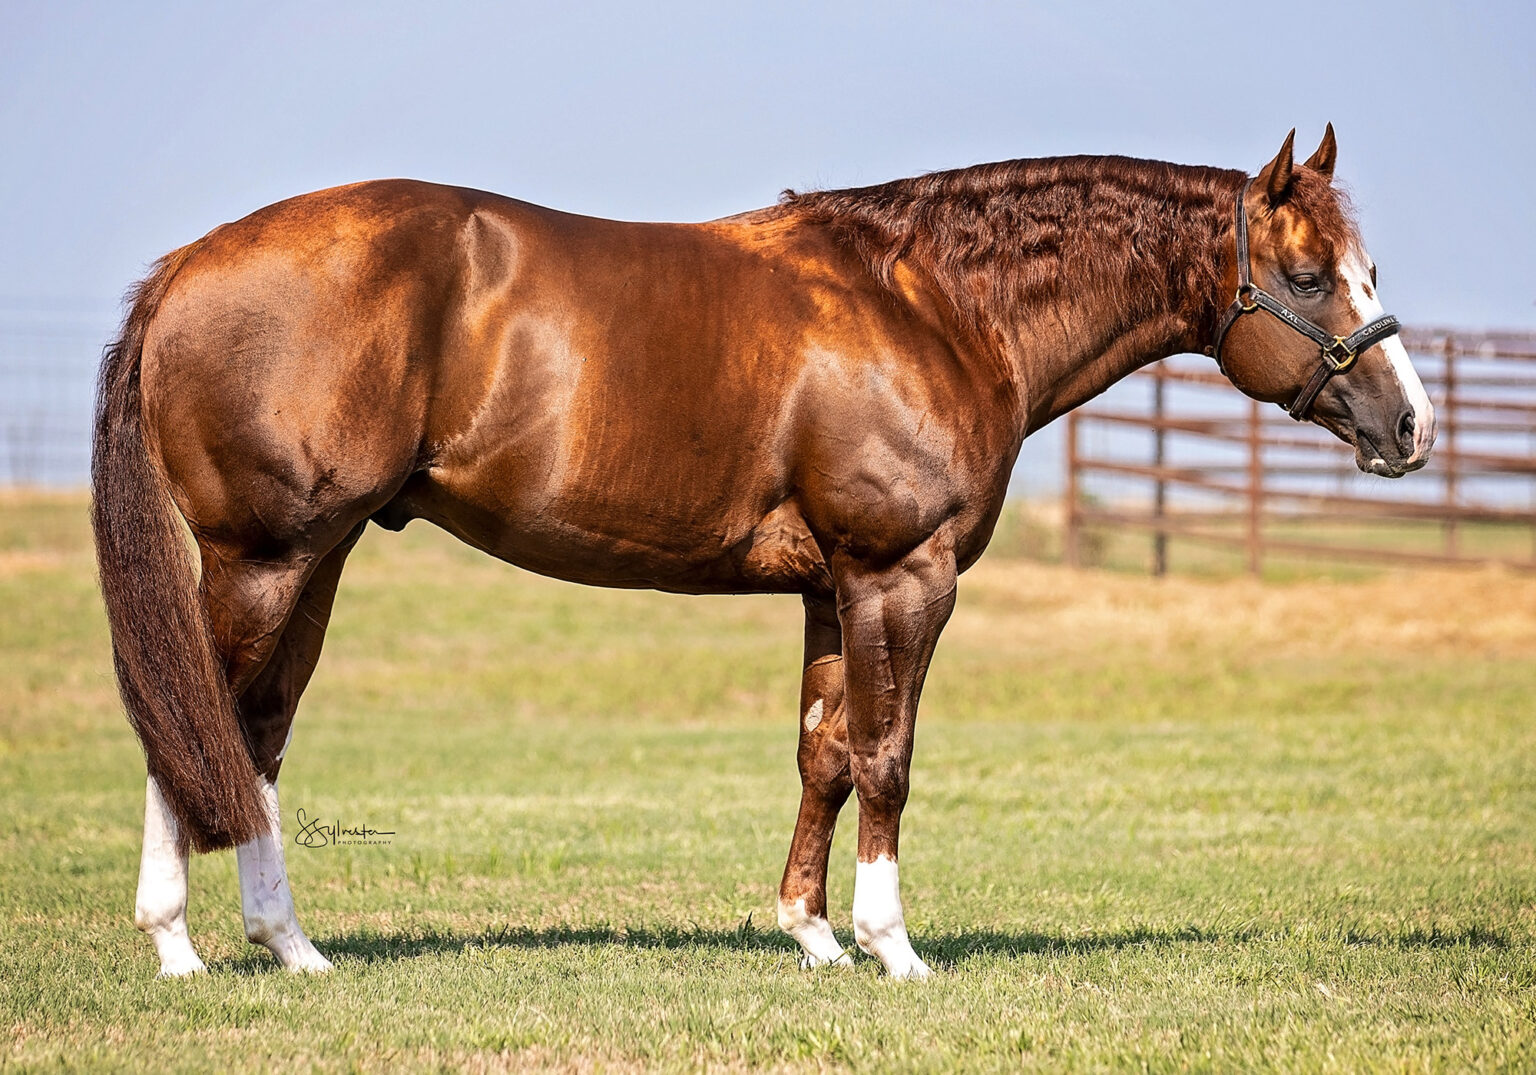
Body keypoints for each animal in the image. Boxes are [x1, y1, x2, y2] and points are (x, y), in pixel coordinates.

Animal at [93, 126, 1435, 979]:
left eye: (1367, 267)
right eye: (1306, 274)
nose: (1412, 426)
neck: (934, 307)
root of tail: (187, 269)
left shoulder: (833, 590)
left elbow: (824, 756)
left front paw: (813, 933)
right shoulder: (903, 574)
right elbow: (888, 758)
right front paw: (896, 949)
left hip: (311, 558)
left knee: (255, 736)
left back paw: (291, 947)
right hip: (262, 557)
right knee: (194, 727)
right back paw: (176, 943)